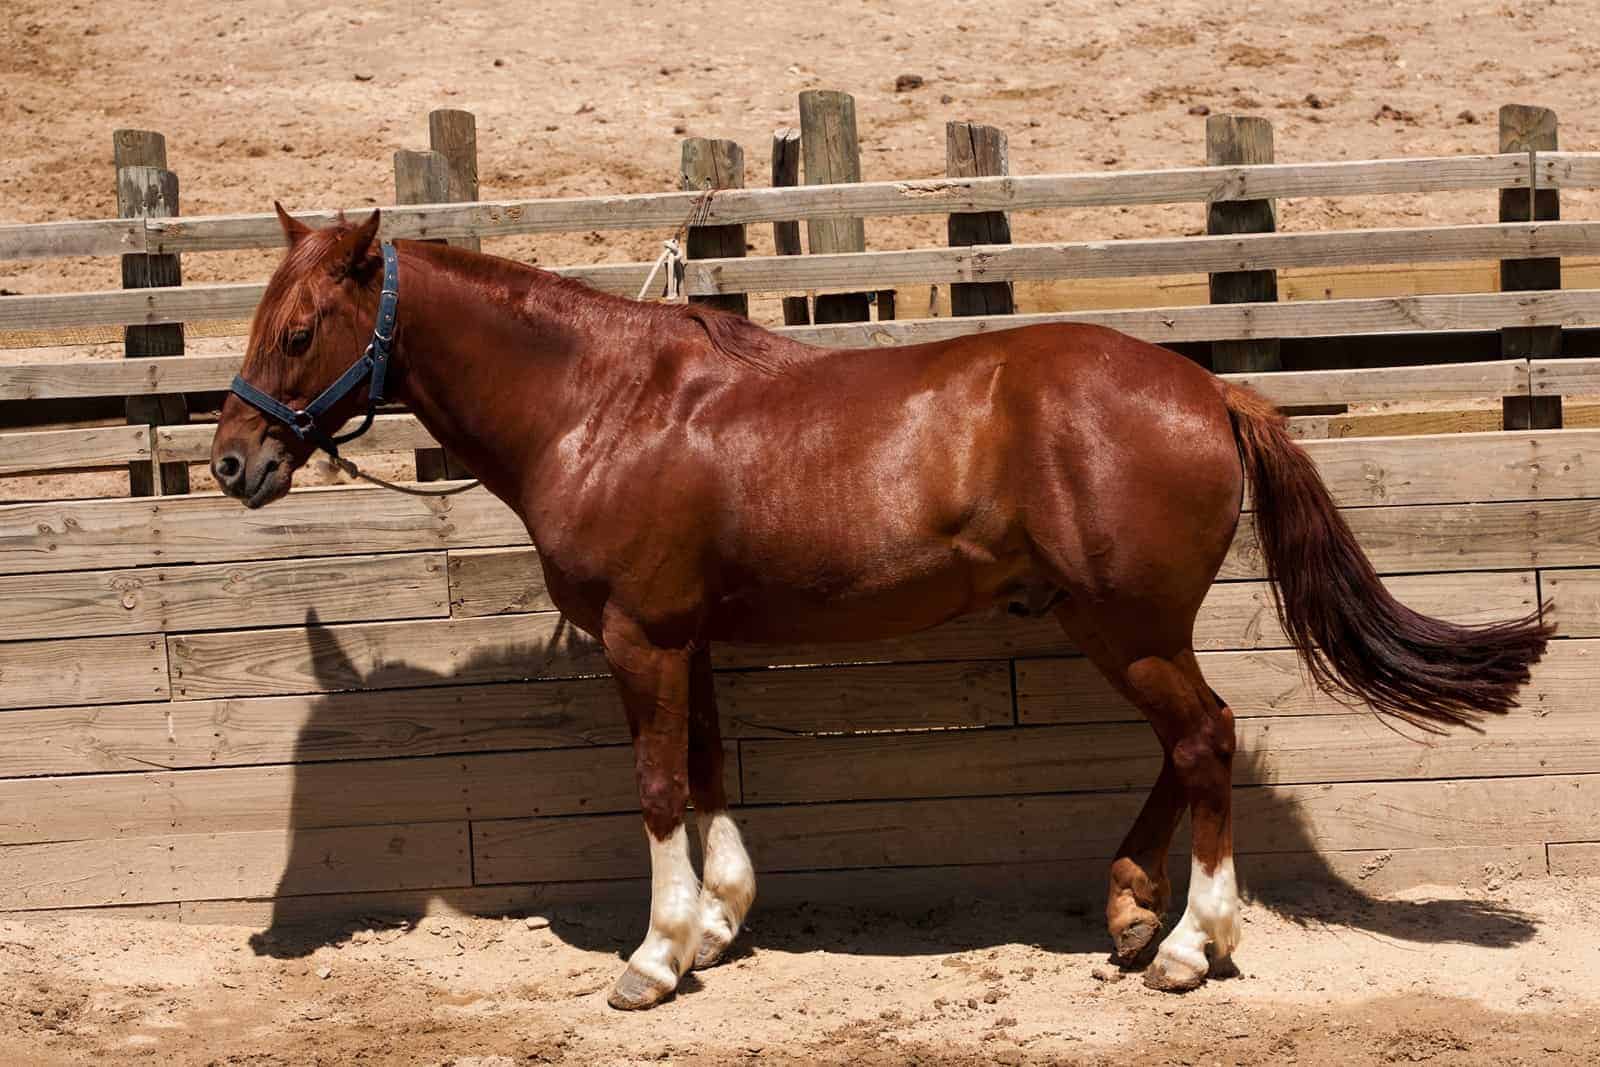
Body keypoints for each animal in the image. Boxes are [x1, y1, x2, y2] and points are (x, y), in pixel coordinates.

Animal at [211, 206, 1550, 1009]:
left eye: (298, 329)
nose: (233, 462)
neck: (606, 406)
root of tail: (1209, 389)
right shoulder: (691, 638)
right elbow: (706, 769)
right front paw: (717, 922)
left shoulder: (642, 637)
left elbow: (656, 785)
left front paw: (652, 955)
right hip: (1121, 627)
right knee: (1189, 744)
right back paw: (1129, 904)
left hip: (1120, 625)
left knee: (1206, 739)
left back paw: (1184, 943)